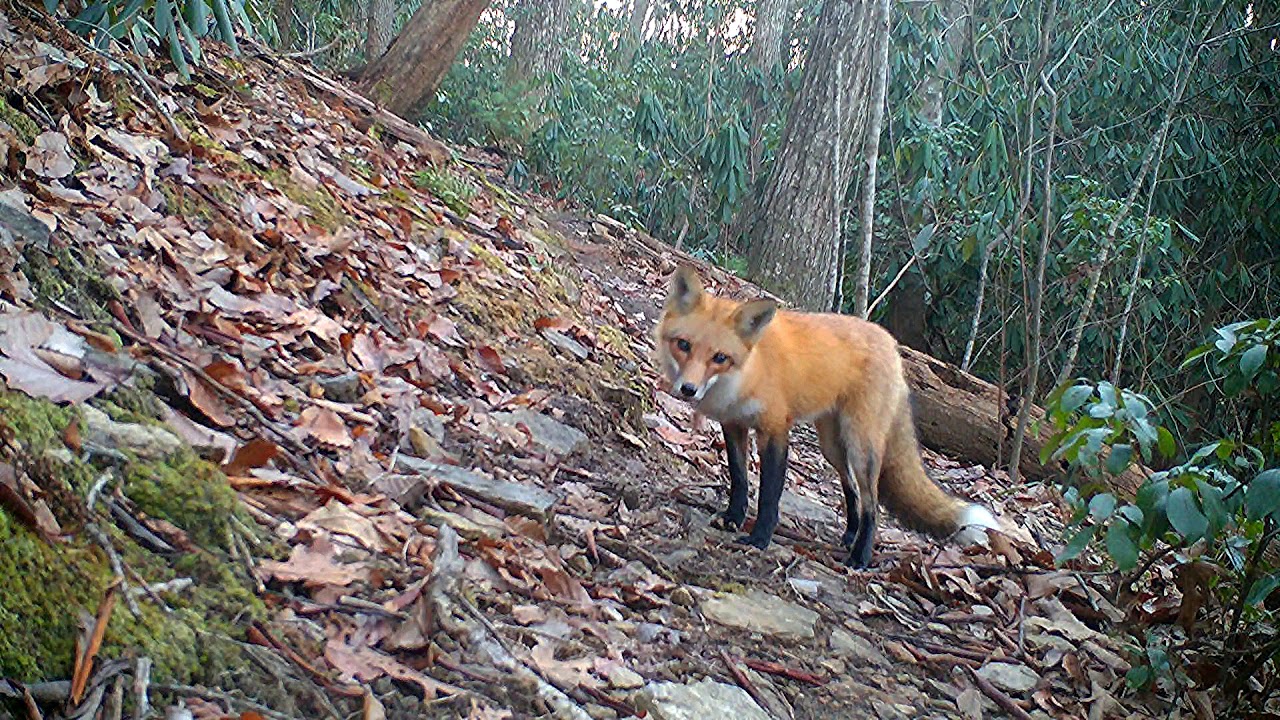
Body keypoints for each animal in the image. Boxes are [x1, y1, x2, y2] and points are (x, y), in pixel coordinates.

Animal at [654, 265, 1000, 567]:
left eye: (719, 358)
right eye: (683, 345)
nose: (688, 389)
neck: (745, 375)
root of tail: (892, 344)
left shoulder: (775, 431)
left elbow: (769, 495)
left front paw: (760, 538)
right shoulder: (734, 424)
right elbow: (739, 478)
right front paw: (733, 518)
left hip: (861, 446)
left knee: (873, 503)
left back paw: (860, 556)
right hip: (833, 445)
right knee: (852, 491)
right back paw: (850, 534)